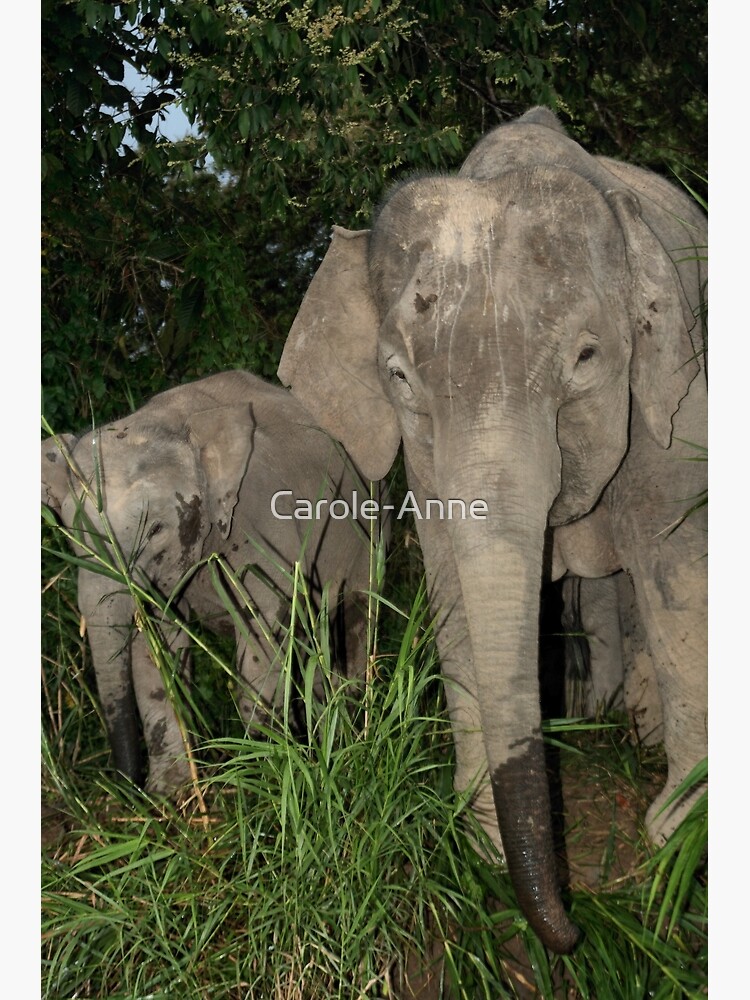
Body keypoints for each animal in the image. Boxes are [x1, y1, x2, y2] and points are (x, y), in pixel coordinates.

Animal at [42, 370, 386, 797]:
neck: (169, 422)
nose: (126, 788)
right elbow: (156, 647)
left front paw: (259, 780)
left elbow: (259, 636)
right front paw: (171, 795)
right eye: (72, 533)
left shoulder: (263, 523)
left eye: (155, 529)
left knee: (355, 619)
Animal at [277, 106, 707, 953]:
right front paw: (475, 847)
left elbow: (680, 566)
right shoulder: (426, 458)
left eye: (586, 357)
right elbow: (452, 588)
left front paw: (677, 842)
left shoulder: (680, 396)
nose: (571, 932)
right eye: (399, 377)